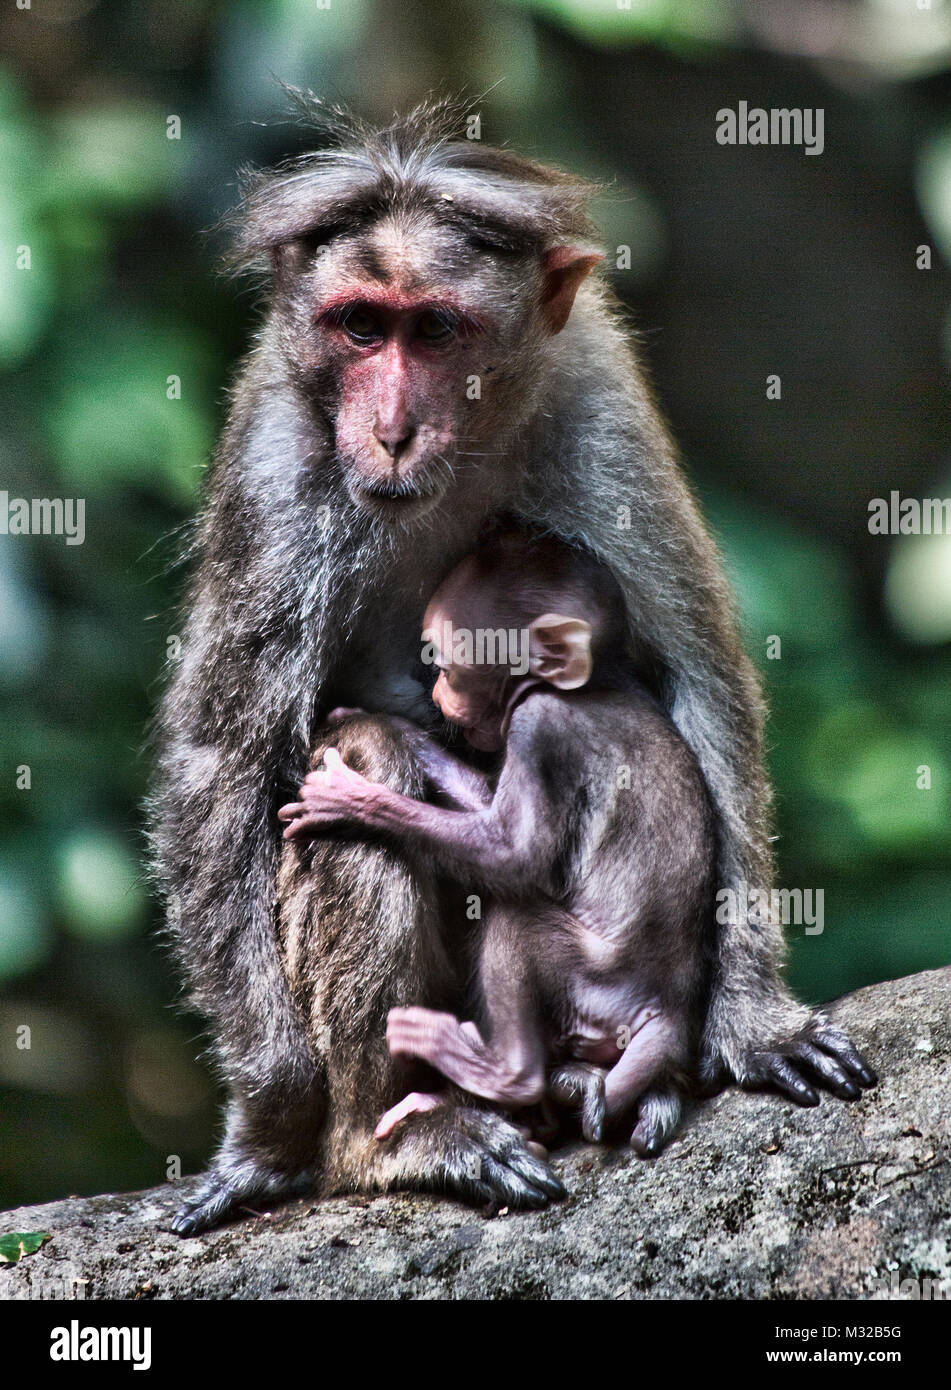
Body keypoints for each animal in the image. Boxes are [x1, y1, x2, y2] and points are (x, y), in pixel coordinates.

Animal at [278, 528, 717, 1158]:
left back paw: (502, 1075)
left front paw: (353, 800)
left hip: (597, 990)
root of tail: (671, 1017)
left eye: (447, 664)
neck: (597, 681)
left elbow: (516, 857)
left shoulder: (541, 725)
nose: (436, 695)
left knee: (515, 920)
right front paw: (400, 733)